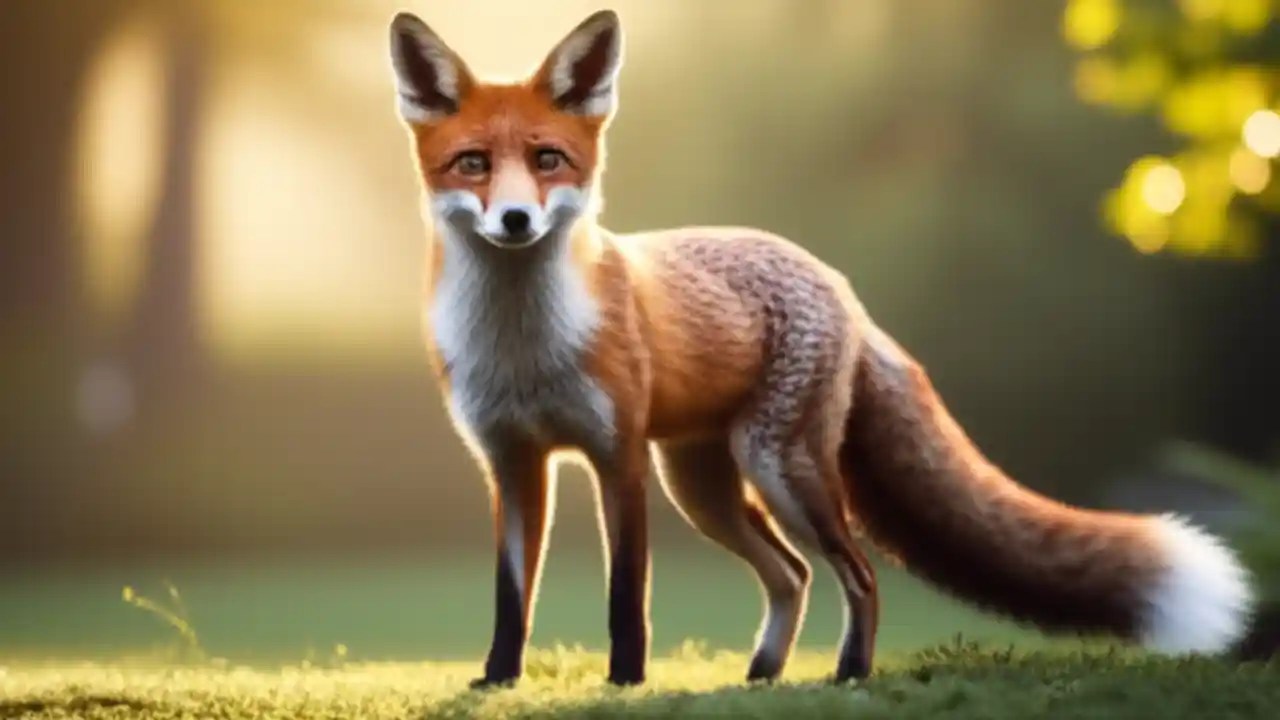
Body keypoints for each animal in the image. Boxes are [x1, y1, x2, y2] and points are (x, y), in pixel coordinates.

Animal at [387, 9, 1255, 687]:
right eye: (472, 164)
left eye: (547, 160)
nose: (515, 222)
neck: (524, 345)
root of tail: (836, 281)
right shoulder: (511, 465)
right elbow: (511, 598)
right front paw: (498, 680)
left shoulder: (616, 455)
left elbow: (626, 594)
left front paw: (626, 682)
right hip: (705, 486)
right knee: (794, 574)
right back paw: (763, 674)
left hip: (778, 468)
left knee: (858, 575)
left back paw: (849, 673)